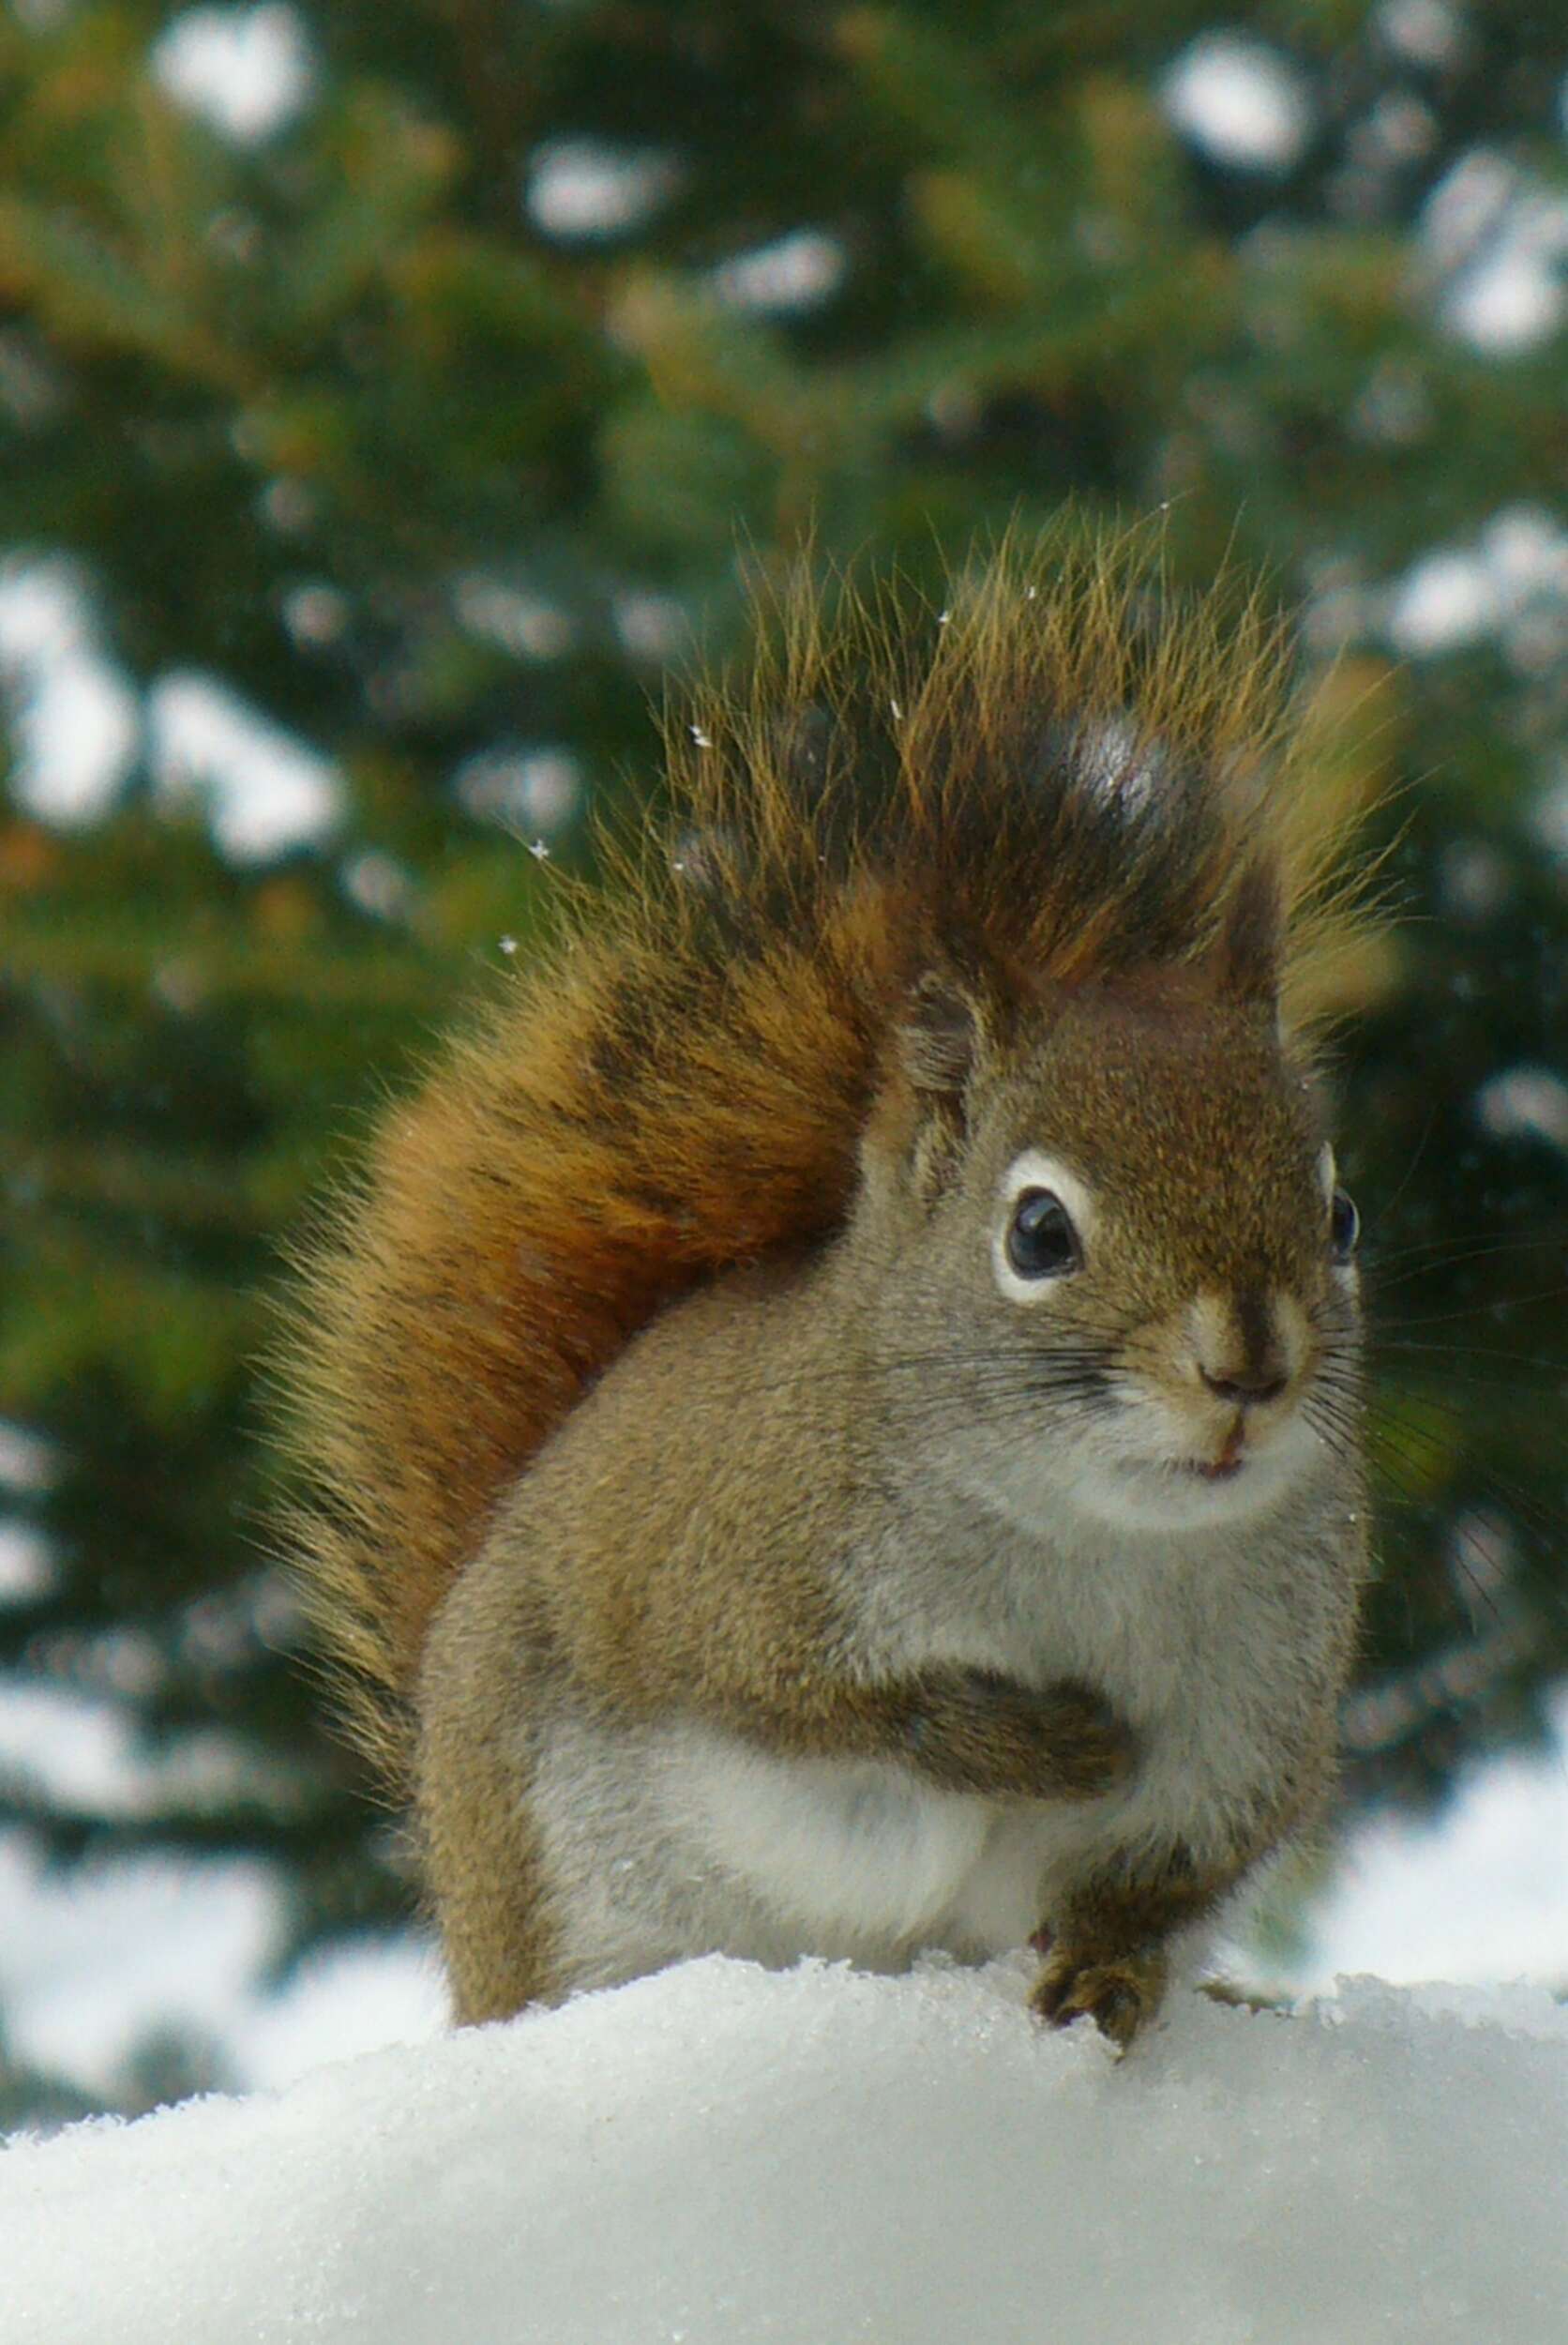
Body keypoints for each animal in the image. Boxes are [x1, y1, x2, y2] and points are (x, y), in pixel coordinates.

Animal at [279, 532, 1376, 2050]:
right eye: (1039, 1231)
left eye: (1339, 1212)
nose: (1247, 1371)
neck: (1099, 1542)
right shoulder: (723, 1582)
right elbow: (818, 1714)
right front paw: (1032, 1738)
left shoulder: (1250, 1727)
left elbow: (1155, 1885)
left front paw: (1107, 1971)